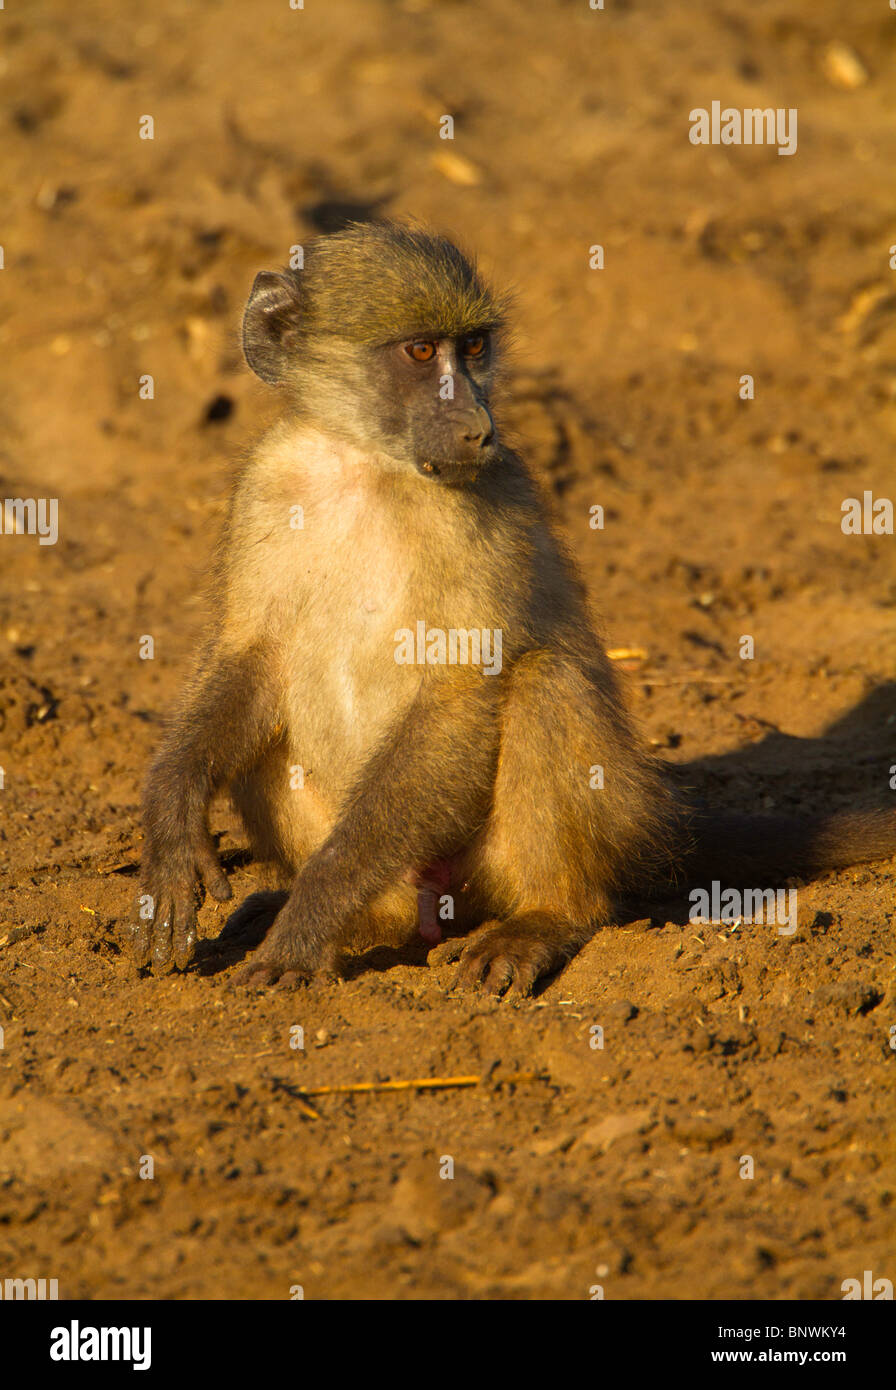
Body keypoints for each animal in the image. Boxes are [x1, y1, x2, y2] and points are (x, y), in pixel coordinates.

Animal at [133, 219, 896, 996]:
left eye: (473, 348)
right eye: (420, 351)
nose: (478, 424)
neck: (366, 464)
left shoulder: (477, 508)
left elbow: (462, 688)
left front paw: (307, 922)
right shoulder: (270, 480)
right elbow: (251, 653)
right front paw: (173, 817)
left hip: (518, 851)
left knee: (542, 684)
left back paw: (544, 919)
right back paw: (356, 927)